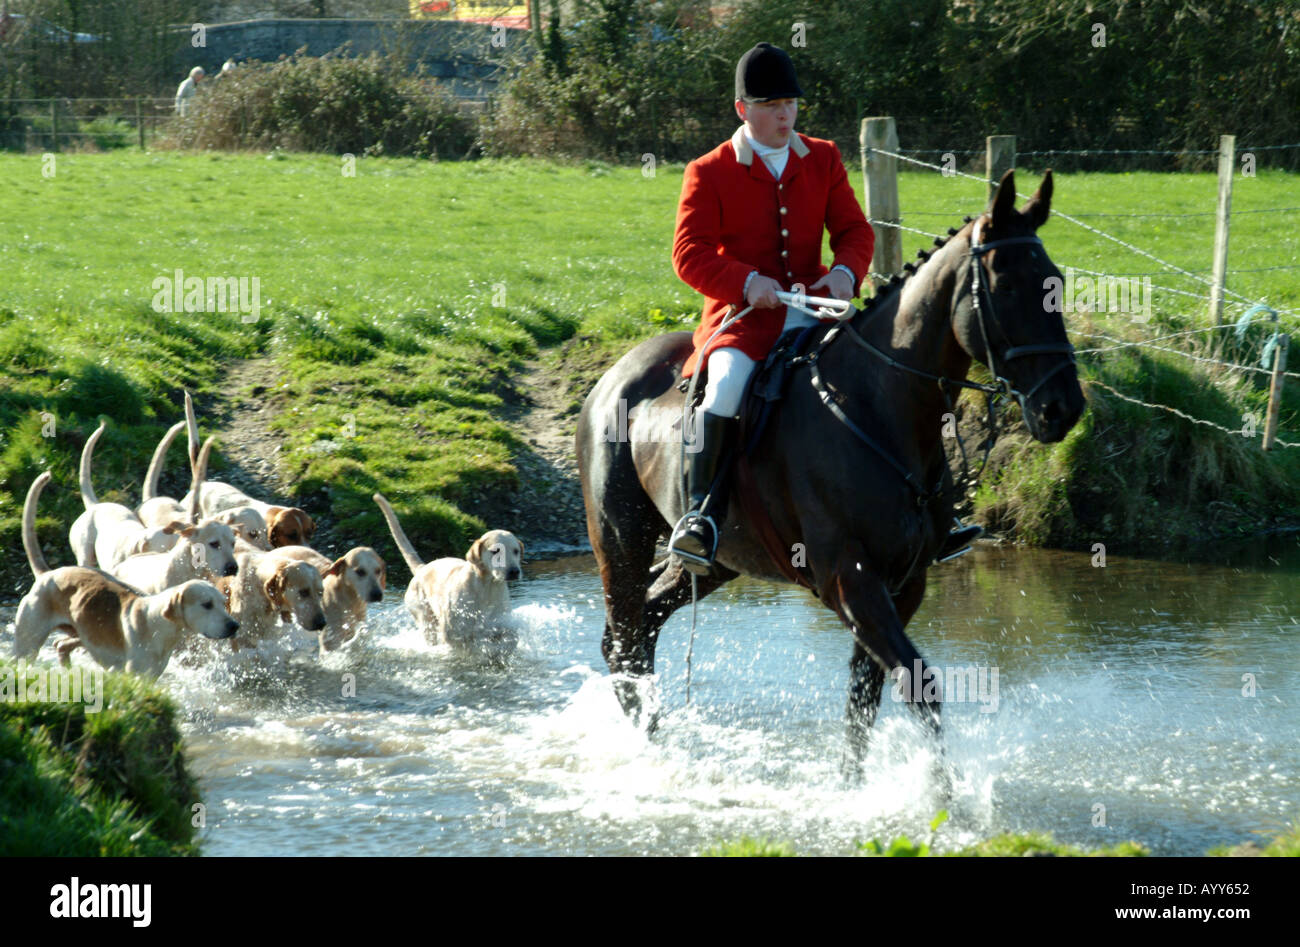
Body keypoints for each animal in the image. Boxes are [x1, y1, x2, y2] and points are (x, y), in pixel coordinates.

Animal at [575, 169, 1086, 767]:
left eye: (1055, 281)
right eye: (1005, 287)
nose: (1063, 408)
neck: (875, 407)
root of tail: (614, 375)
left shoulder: (903, 584)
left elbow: (864, 700)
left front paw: (853, 781)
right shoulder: (850, 579)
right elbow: (919, 685)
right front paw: (941, 790)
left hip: (717, 560)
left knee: (642, 627)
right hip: (621, 542)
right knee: (625, 637)